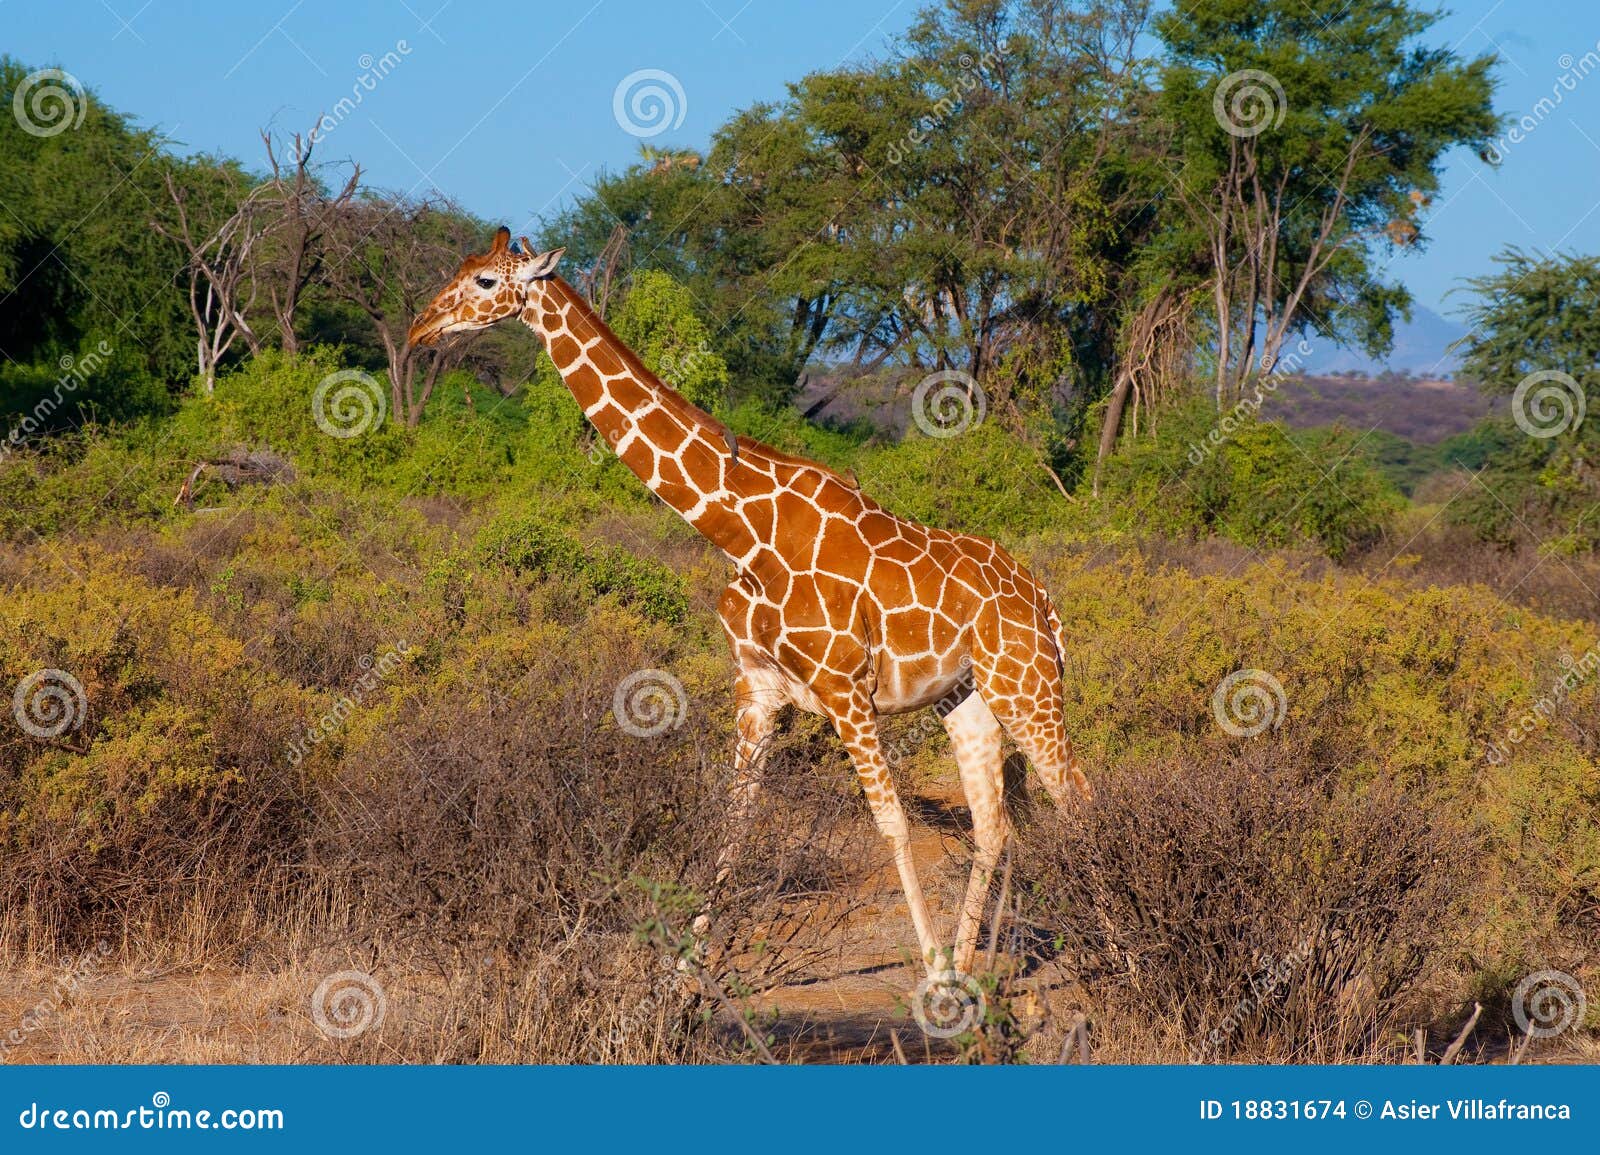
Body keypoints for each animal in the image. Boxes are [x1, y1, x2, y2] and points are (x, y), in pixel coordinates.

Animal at [410, 227, 1091, 979]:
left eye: (484, 282)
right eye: (463, 268)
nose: (420, 327)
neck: (744, 530)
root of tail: (1043, 597)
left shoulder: (846, 689)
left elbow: (891, 823)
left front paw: (931, 971)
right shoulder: (758, 685)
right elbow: (735, 817)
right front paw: (683, 968)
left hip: (1027, 684)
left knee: (1076, 794)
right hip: (966, 697)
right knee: (995, 821)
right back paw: (973, 966)